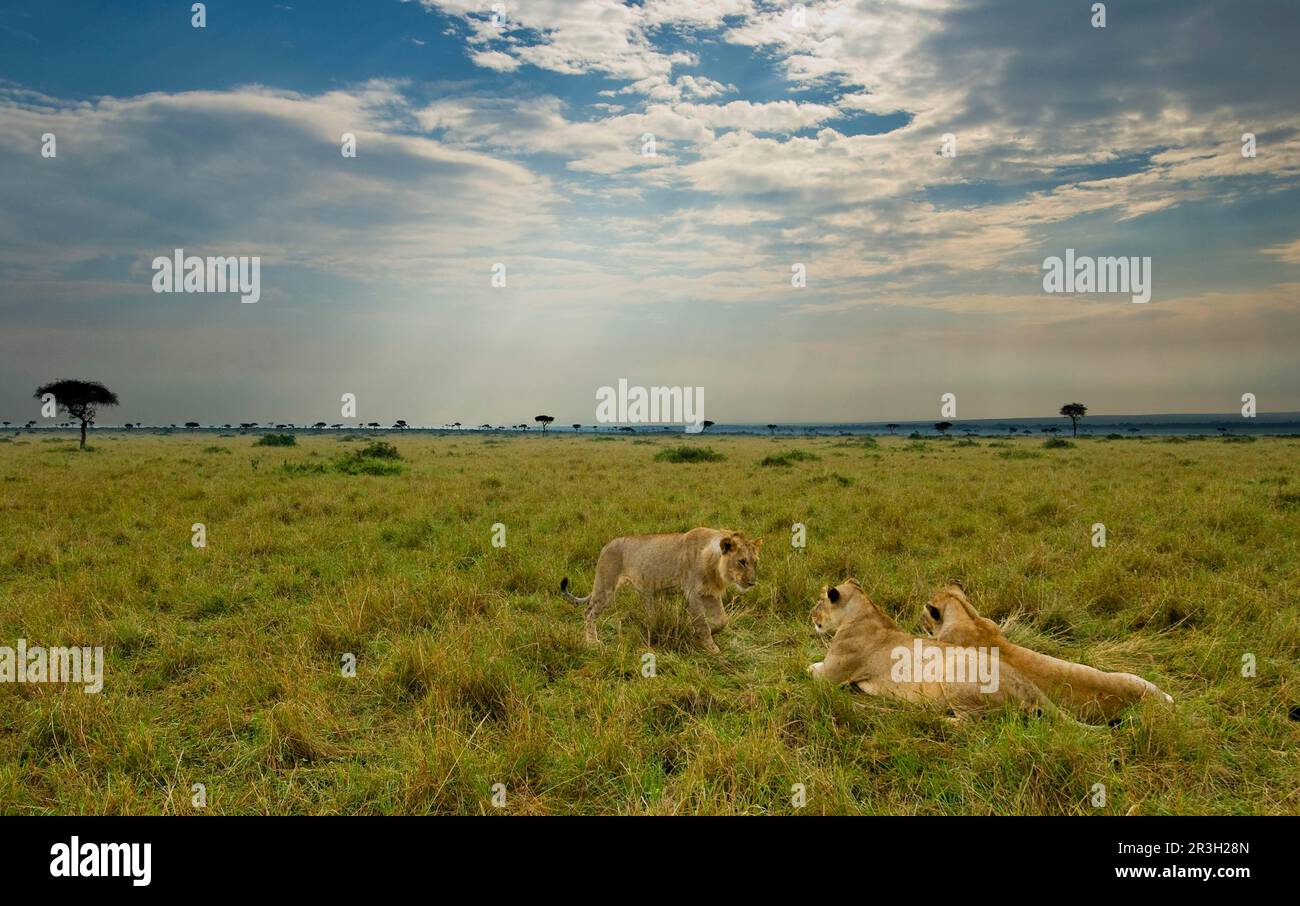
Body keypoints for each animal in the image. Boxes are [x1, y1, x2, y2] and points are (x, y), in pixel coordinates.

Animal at [560, 528, 761, 652]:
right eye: (742, 561)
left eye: (755, 562)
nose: (752, 583)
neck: (714, 567)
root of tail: (605, 546)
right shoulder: (693, 593)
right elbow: (701, 623)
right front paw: (710, 647)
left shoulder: (710, 593)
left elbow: (721, 620)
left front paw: (699, 632)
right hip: (606, 587)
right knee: (588, 612)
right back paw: (592, 642)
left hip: (646, 595)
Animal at [807, 579, 1052, 718]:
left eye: (820, 601)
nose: (811, 614)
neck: (863, 611)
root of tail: (1030, 688)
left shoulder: (829, 676)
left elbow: (807, 669)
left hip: (954, 675)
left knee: (970, 725)